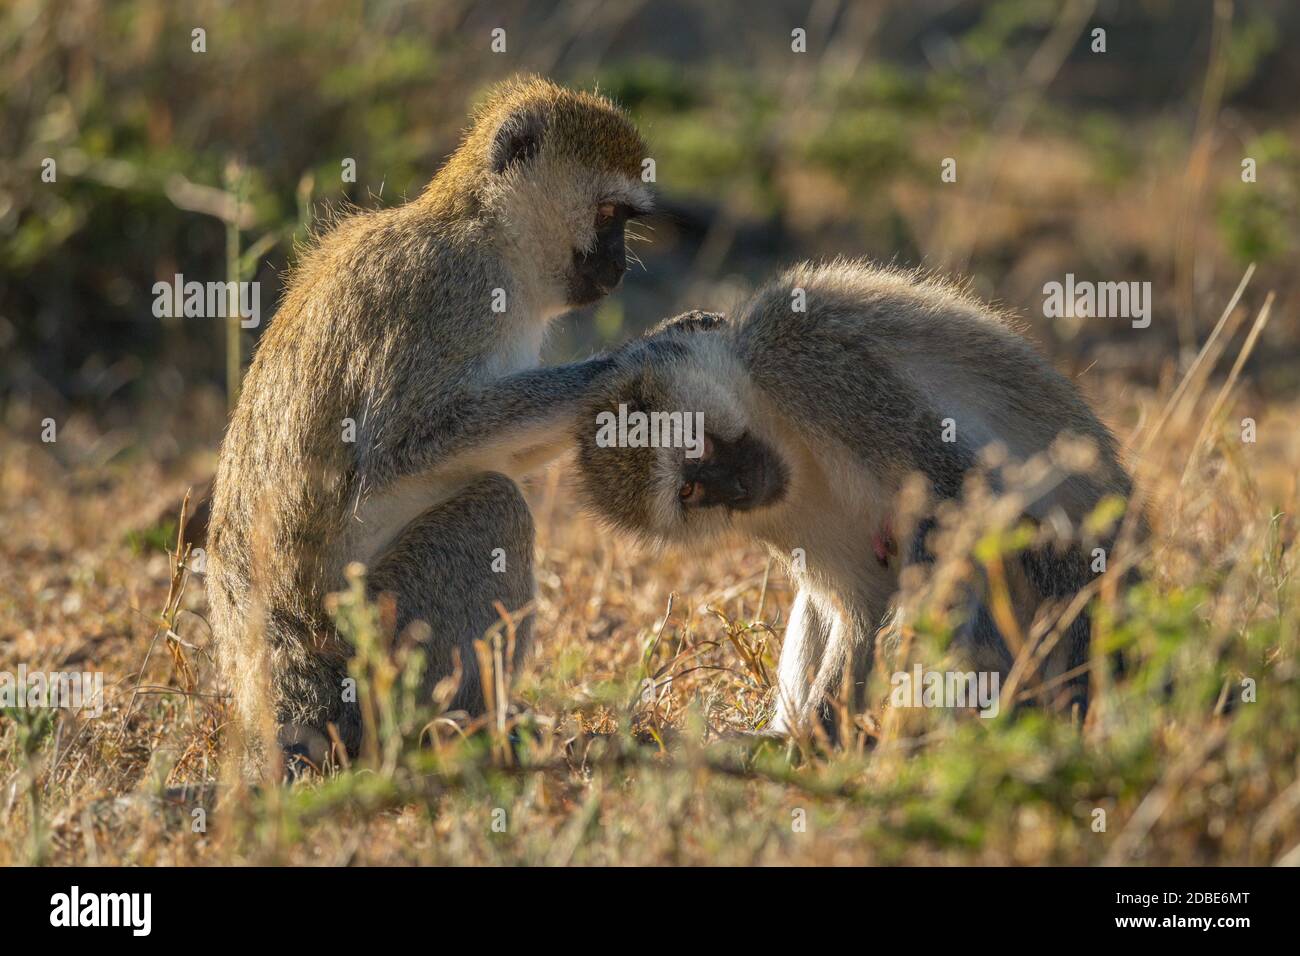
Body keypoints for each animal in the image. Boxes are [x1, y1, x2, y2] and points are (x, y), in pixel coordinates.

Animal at [206, 76, 651, 772]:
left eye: (626, 221)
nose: (621, 268)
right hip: (370, 649)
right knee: (496, 507)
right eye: (610, 215)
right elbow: (402, 449)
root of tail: (282, 699)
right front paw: (633, 359)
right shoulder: (451, 290)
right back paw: (466, 727)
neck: (489, 236)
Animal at [572, 260, 1137, 738]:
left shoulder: (813, 358)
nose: (736, 489)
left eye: (700, 444)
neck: (775, 416)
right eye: (689, 491)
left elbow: (959, 494)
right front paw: (810, 739)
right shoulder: (778, 506)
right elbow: (859, 603)